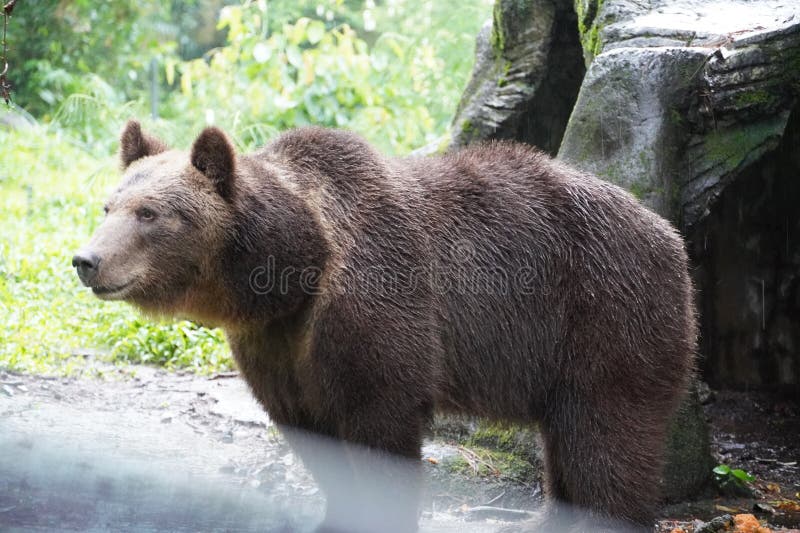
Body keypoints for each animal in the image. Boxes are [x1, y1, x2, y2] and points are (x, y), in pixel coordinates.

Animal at [73, 120, 696, 532]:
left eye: (149, 213)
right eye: (108, 206)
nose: (87, 260)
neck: (294, 271)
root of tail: (669, 235)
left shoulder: (376, 310)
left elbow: (381, 428)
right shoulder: (279, 347)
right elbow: (310, 430)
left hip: (605, 320)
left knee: (607, 443)